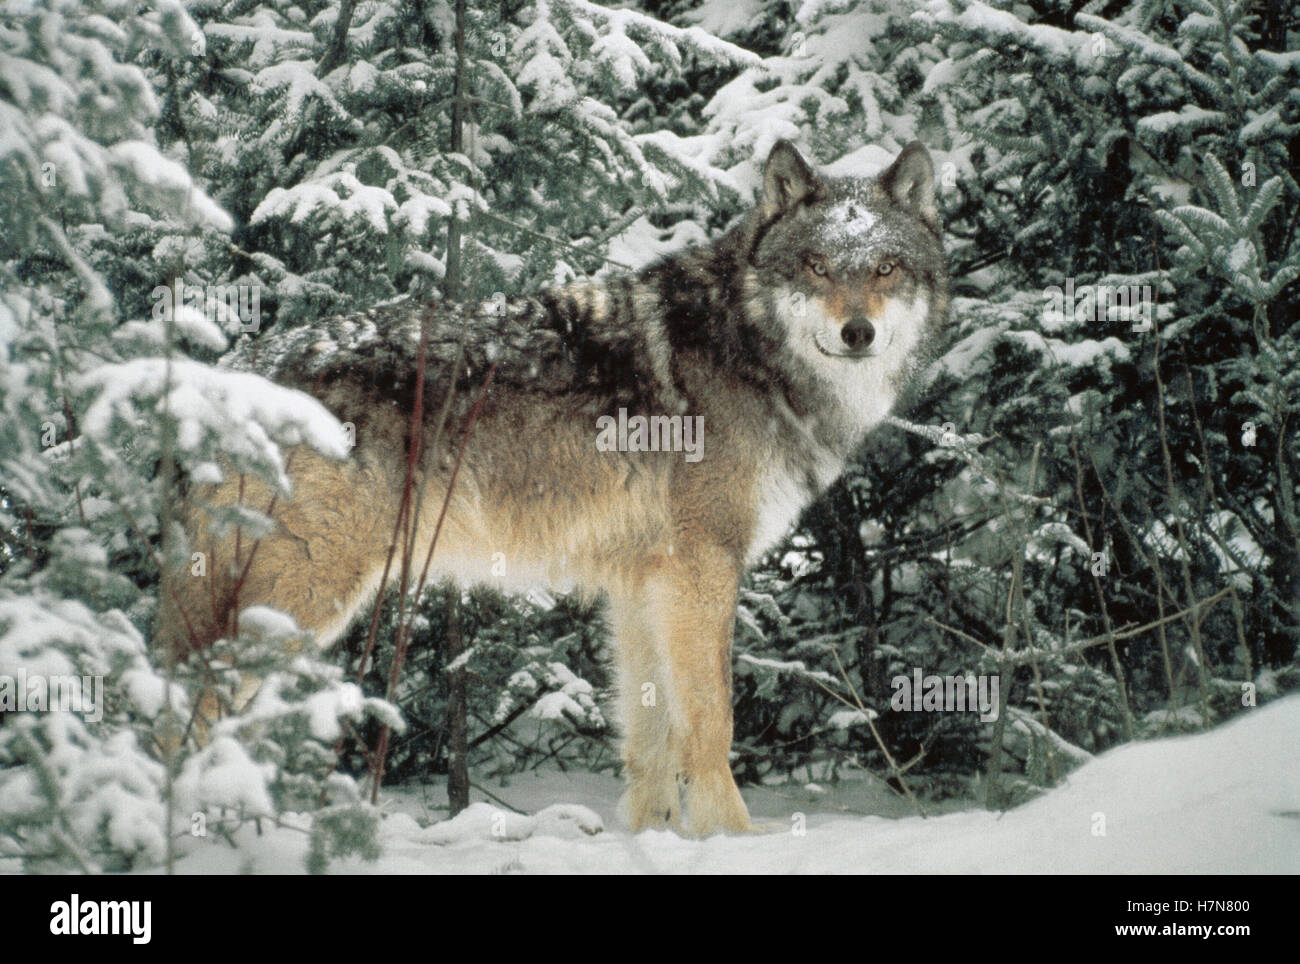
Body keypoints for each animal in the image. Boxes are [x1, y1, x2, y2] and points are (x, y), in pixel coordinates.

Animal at [155, 139, 949, 836]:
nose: (857, 333)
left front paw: (658, 838)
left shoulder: (643, 584)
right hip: (302, 597)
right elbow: (711, 725)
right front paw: (735, 840)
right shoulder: (701, 569)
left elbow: (651, 738)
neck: (750, 351)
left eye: (885, 268)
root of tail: (234, 368)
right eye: (817, 266)